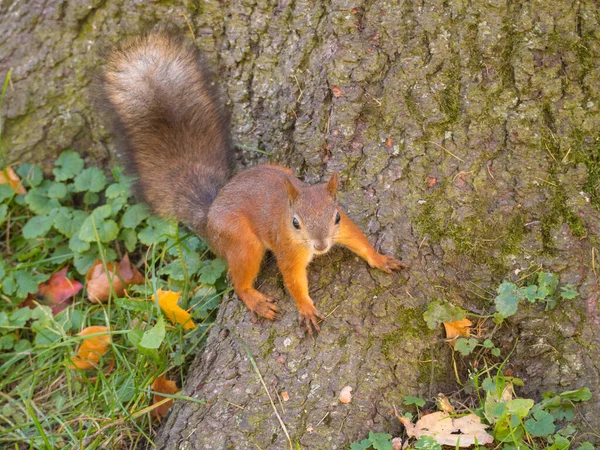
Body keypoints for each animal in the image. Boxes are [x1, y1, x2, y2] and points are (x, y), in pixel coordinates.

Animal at [102, 31, 408, 334]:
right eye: (295, 222)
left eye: (335, 217)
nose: (321, 245)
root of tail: (209, 216)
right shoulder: (288, 249)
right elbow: (293, 280)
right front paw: (306, 308)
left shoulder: (344, 228)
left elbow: (359, 240)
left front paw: (381, 259)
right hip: (241, 241)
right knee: (238, 280)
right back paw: (255, 300)